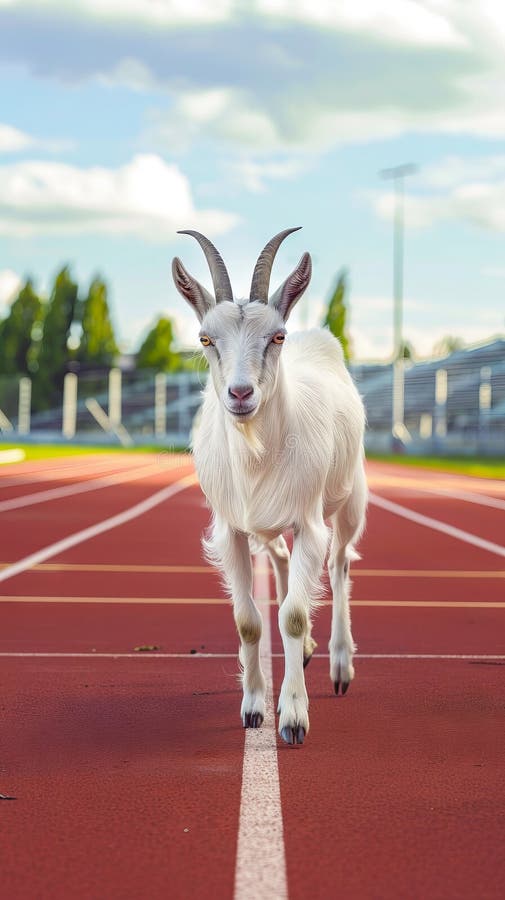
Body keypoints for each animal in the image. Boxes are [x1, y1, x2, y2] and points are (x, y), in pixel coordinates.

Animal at [172, 227, 367, 745]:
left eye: (276, 336)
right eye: (205, 338)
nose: (241, 394)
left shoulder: (310, 521)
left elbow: (293, 615)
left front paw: (294, 717)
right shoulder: (231, 531)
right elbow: (249, 623)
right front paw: (255, 708)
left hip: (350, 499)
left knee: (339, 563)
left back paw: (340, 666)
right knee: (280, 557)